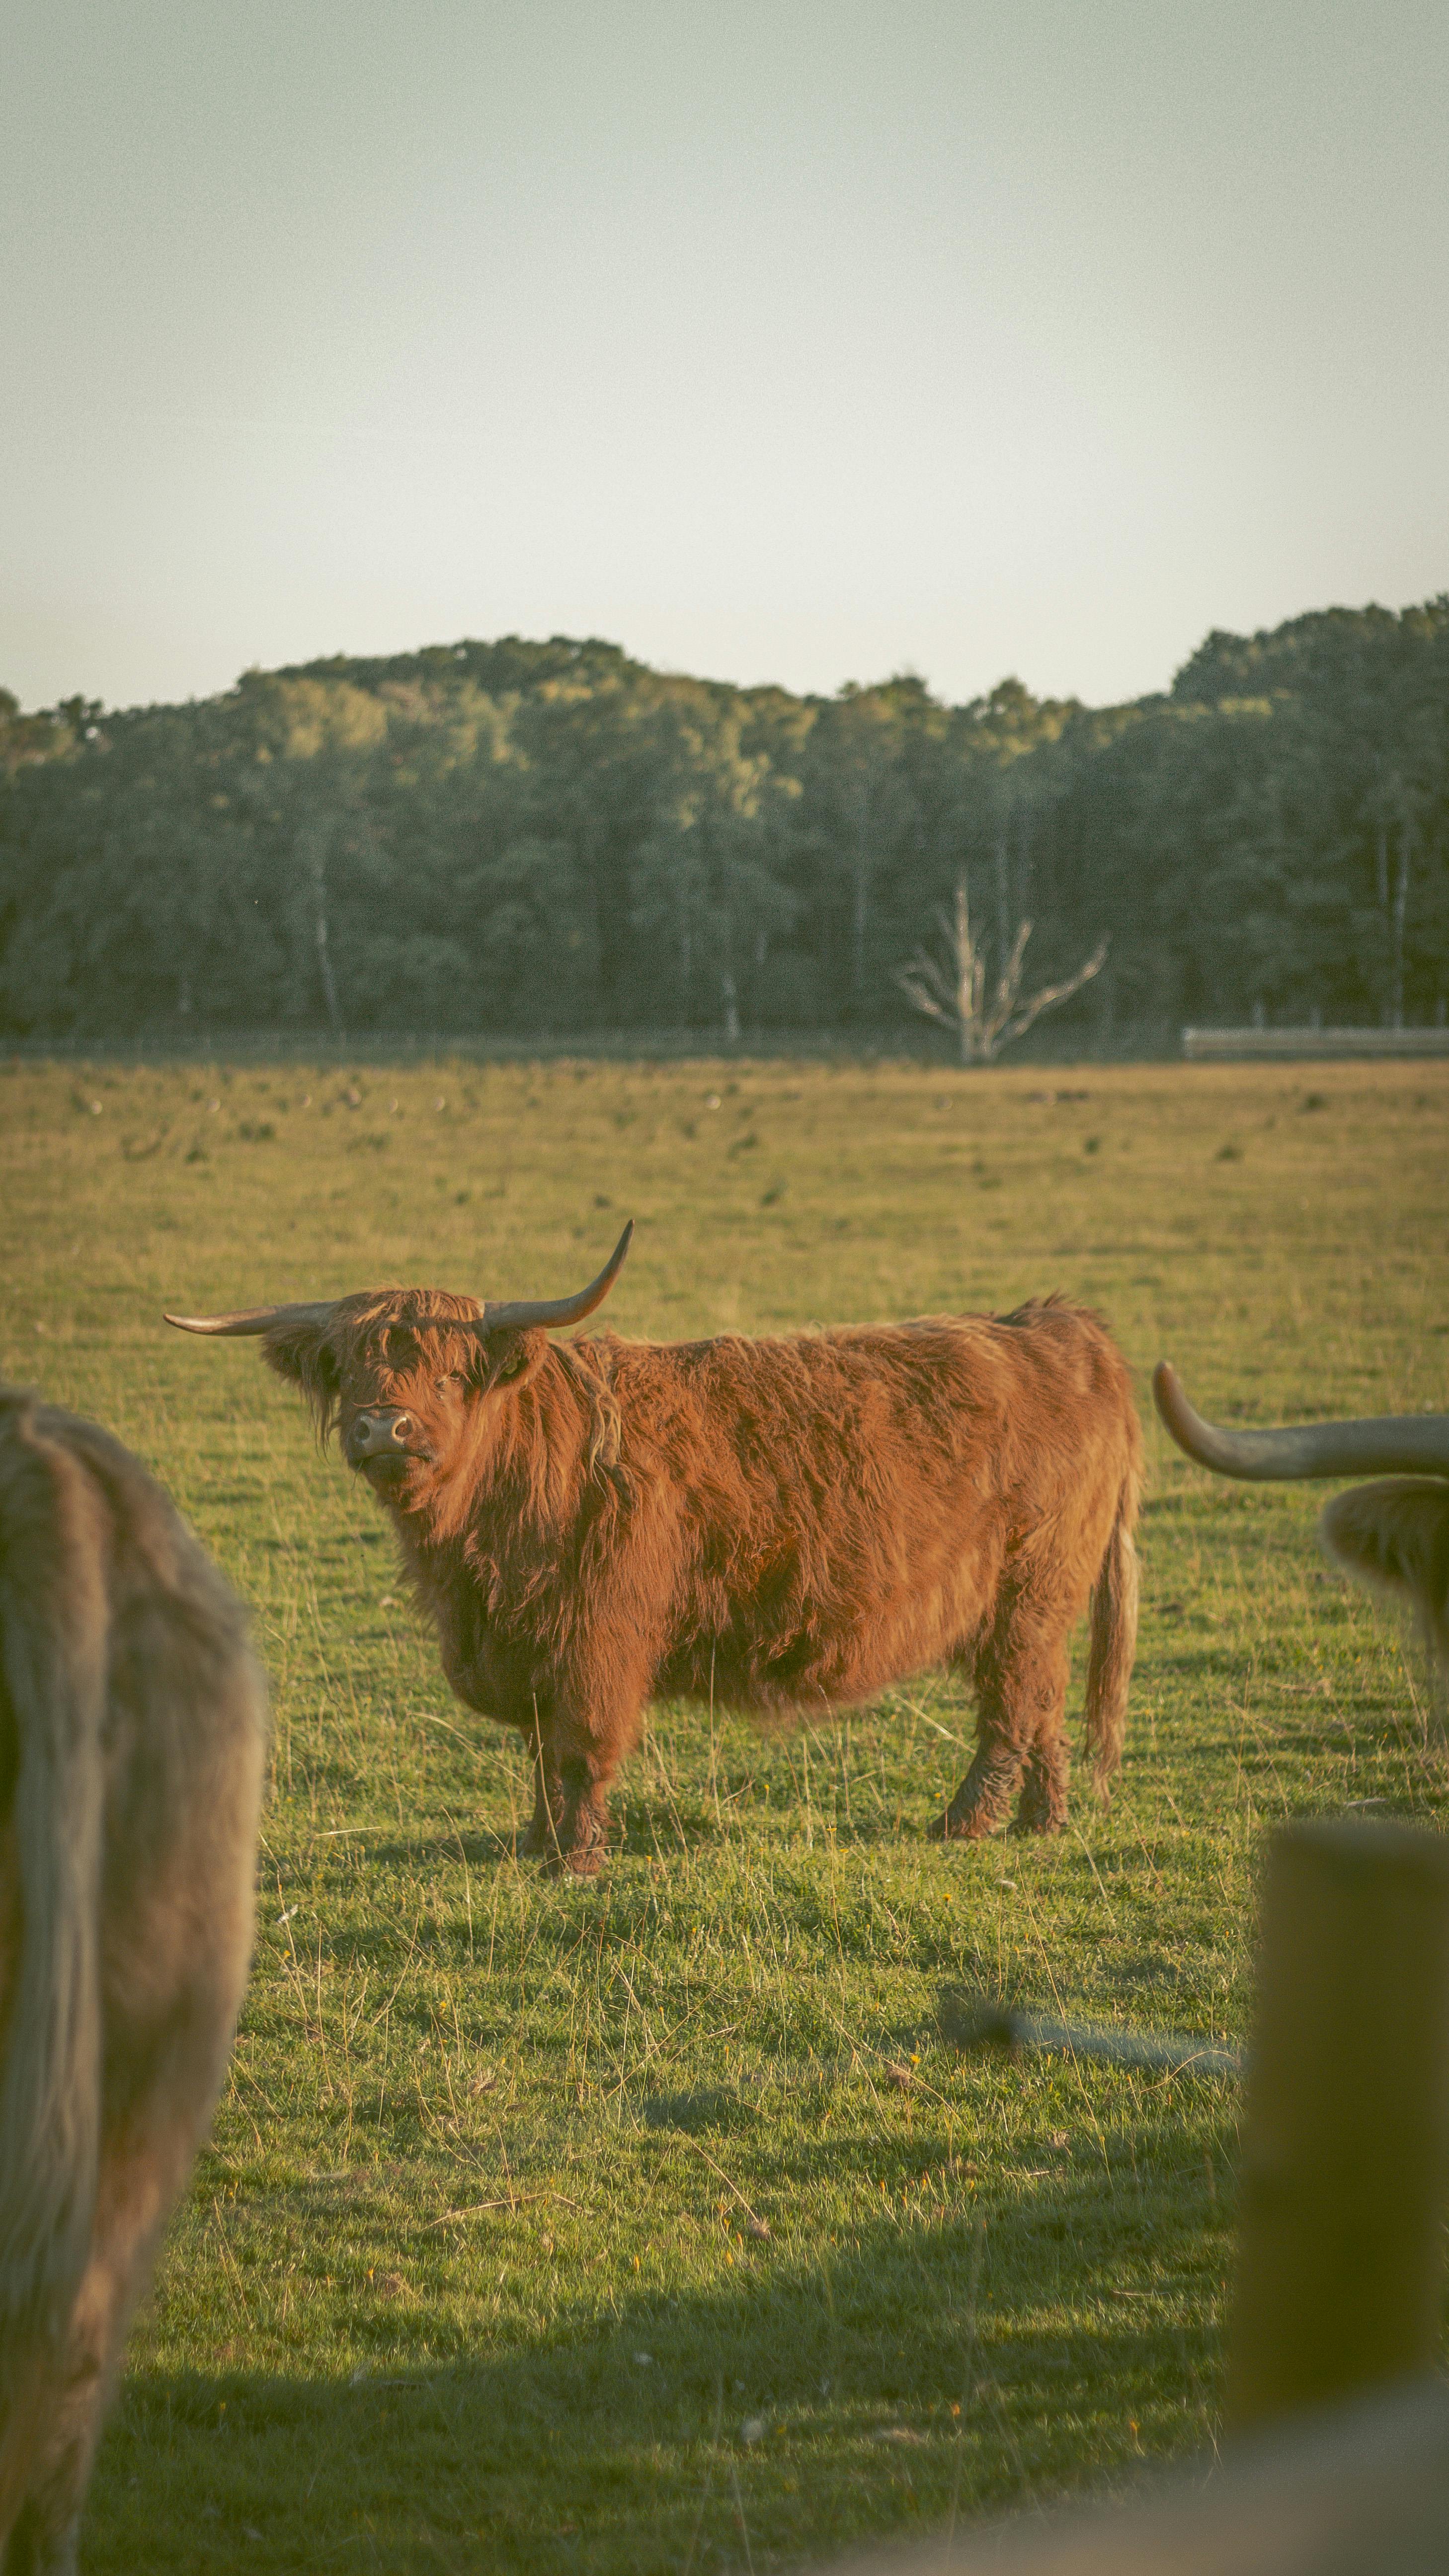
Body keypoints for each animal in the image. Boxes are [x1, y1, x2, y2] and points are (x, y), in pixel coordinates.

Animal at [166, 1227, 1141, 1875]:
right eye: (349, 1374)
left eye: (447, 1375)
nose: (382, 1427)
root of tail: (1051, 1325)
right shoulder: (527, 1648)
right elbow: (539, 1754)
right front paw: (535, 1841)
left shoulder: (597, 1639)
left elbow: (580, 1751)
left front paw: (575, 1861)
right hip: (1038, 1608)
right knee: (1045, 1708)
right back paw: (1042, 1822)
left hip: (1025, 1593)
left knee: (1012, 1709)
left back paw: (966, 1823)